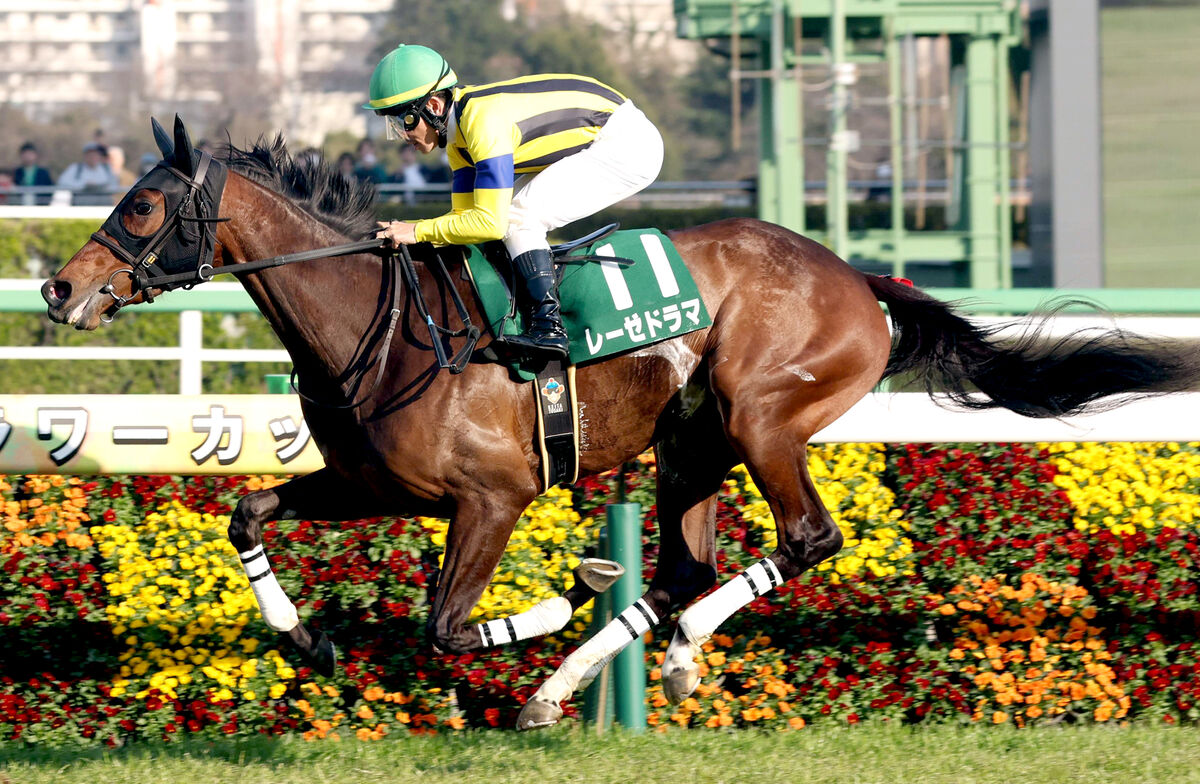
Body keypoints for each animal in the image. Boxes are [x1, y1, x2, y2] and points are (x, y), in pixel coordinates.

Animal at [42, 117, 1200, 730]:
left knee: (805, 539)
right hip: (694, 445)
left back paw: (663, 648)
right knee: (690, 566)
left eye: (141, 206)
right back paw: (599, 674)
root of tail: (858, 276)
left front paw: (565, 591)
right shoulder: (374, 485)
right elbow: (247, 513)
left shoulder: (493, 497)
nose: (58, 288)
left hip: (762, 413)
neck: (381, 322)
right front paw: (305, 632)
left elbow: (446, 623)